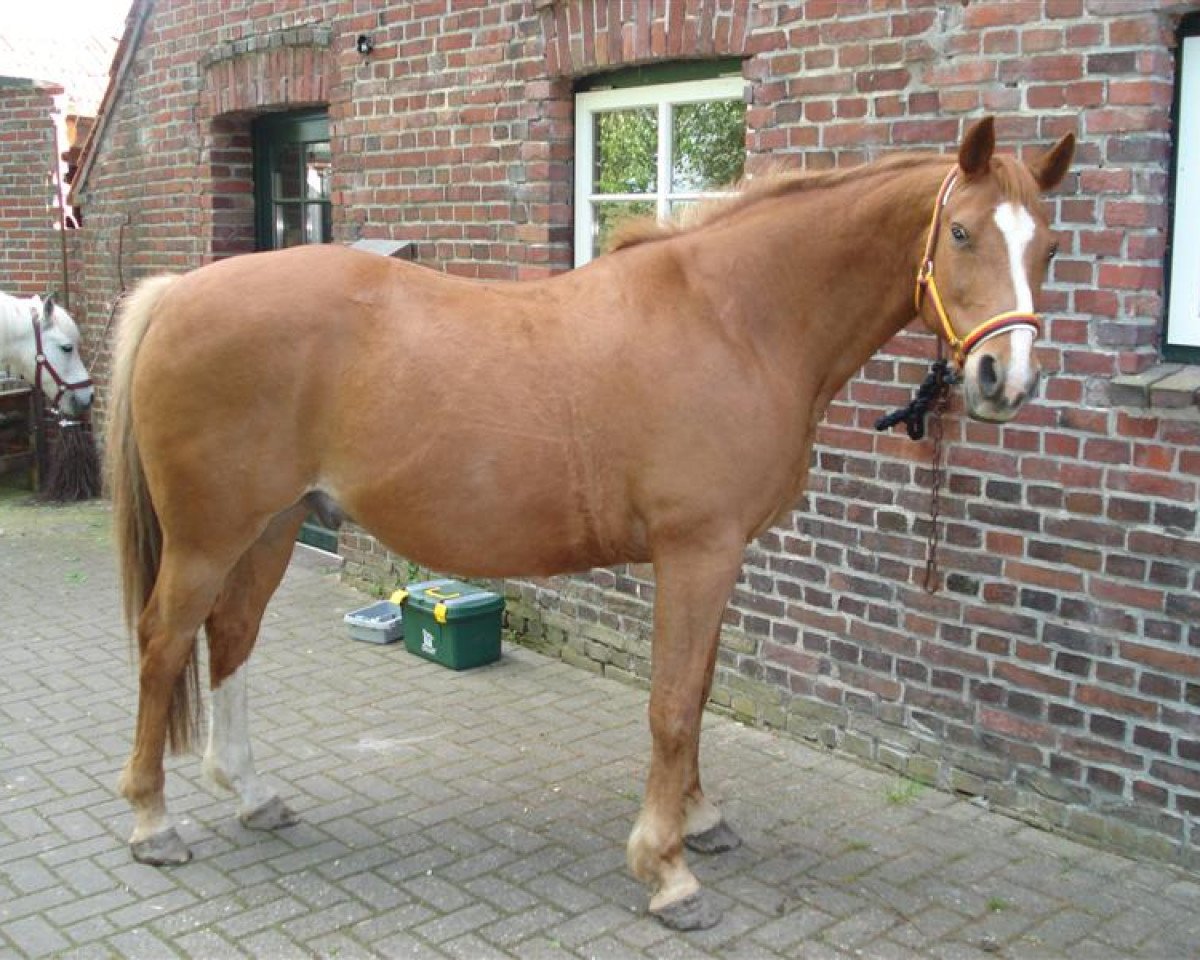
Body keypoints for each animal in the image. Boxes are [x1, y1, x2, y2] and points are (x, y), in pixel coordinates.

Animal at [106, 116, 1073, 930]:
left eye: (1051, 244)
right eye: (961, 234)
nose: (1006, 380)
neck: (735, 319)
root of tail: (178, 293)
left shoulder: (719, 558)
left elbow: (701, 690)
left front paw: (700, 818)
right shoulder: (696, 553)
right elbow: (674, 704)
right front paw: (668, 870)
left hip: (270, 528)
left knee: (229, 636)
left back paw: (250, 793)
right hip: (208, 538)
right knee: (161, 644)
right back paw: (153, 824)